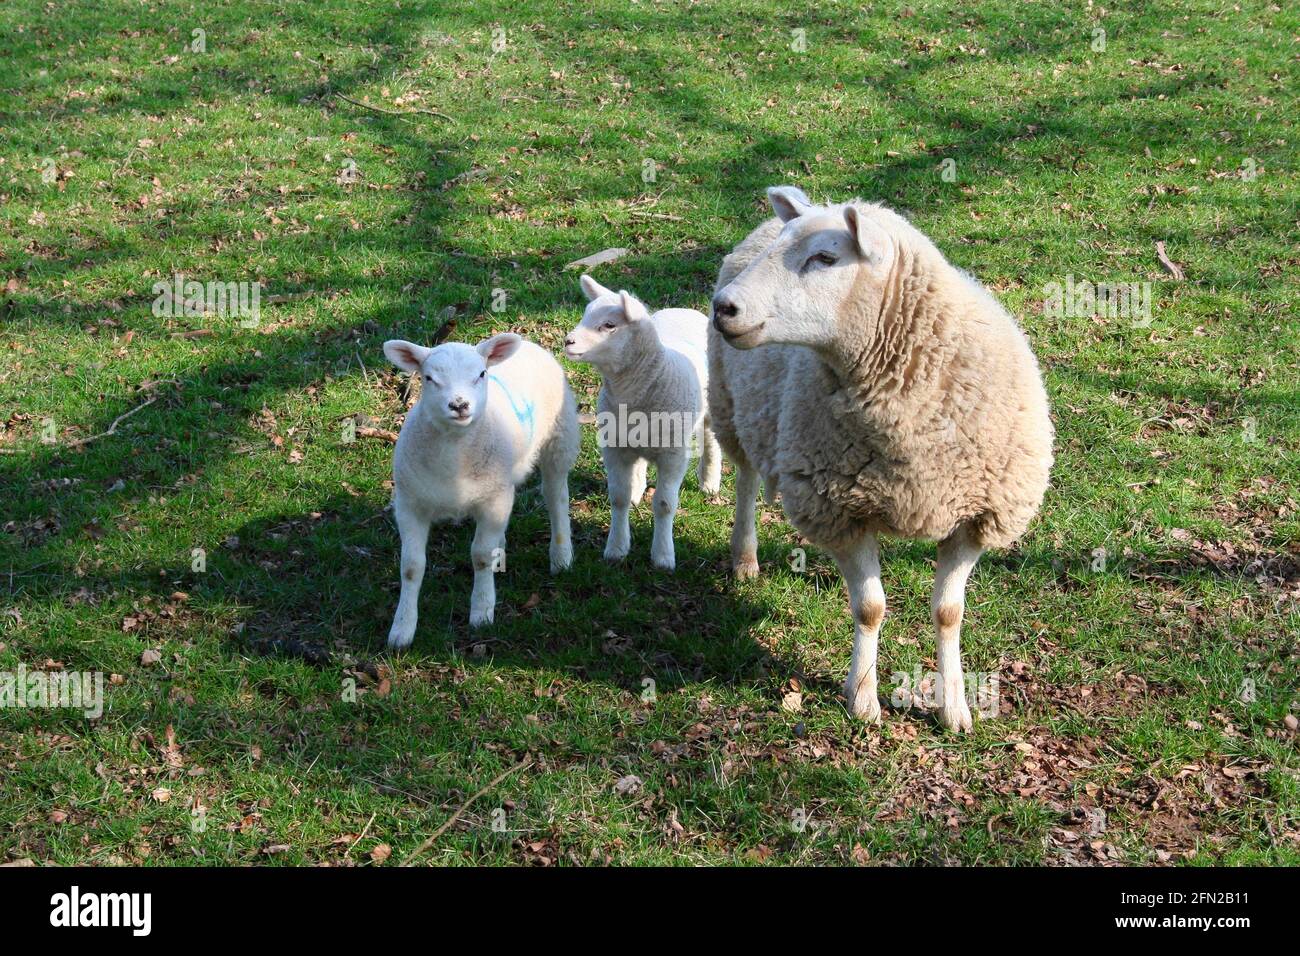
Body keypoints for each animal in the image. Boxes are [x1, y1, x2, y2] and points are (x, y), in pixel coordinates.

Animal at [382, 332, 579, 648]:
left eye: (481, 374)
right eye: (429, 378)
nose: (459, 405)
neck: (455, 457)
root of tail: (529, 345)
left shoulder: (493, 500)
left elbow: (481, 556)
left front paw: (482, 611)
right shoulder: (410, 504)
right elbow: (411, 566)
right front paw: (402, 628)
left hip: (559, 439)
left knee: (556, 496)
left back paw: (561, 556)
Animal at [563, 275, 722, 570]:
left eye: (609, 325)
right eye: (585, 314)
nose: (568, 341)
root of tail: (683, 309)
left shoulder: (673, 454)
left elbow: (664, 504)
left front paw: (663, 556)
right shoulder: (613, 447)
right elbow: (618, 498)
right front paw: (616, 548)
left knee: (711, 439)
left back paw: (709, 481)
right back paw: (637, 487)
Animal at [708, 186, 1054, 732]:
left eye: (826, 258)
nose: (724, 308)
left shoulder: (976, 517)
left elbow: (949, 613)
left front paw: (954, 707)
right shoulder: (839, 512)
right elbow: (869, 608)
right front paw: (863, 700)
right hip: (727, 403)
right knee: (744, 478)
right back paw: (745, 557)